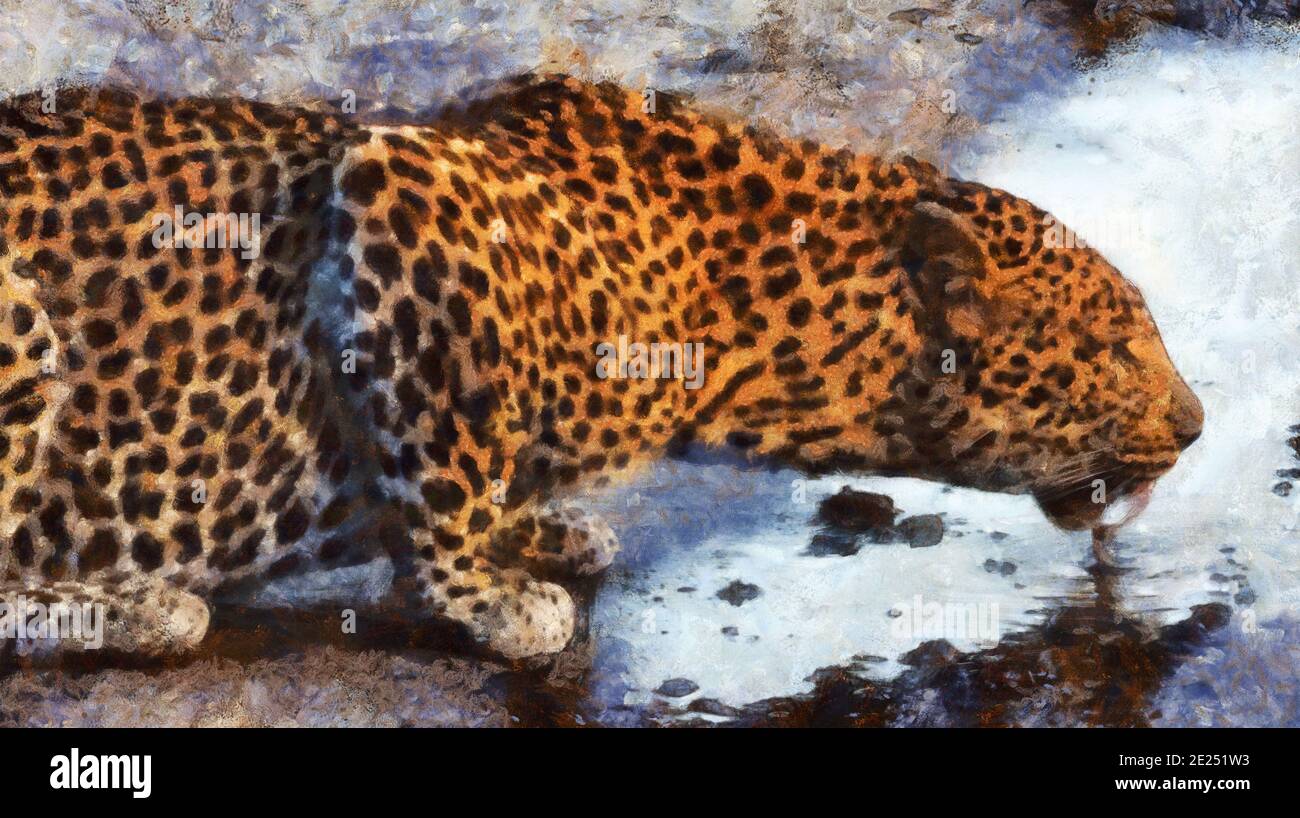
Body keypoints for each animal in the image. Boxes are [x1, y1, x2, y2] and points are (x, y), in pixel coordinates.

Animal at [0, 75, 1202, 662]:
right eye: (1110, 345)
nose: (1195, 425)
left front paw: (540, 531)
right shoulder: (405, 198)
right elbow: (444, 466)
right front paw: (489, 597)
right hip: (18, 321)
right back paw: (135, 609)